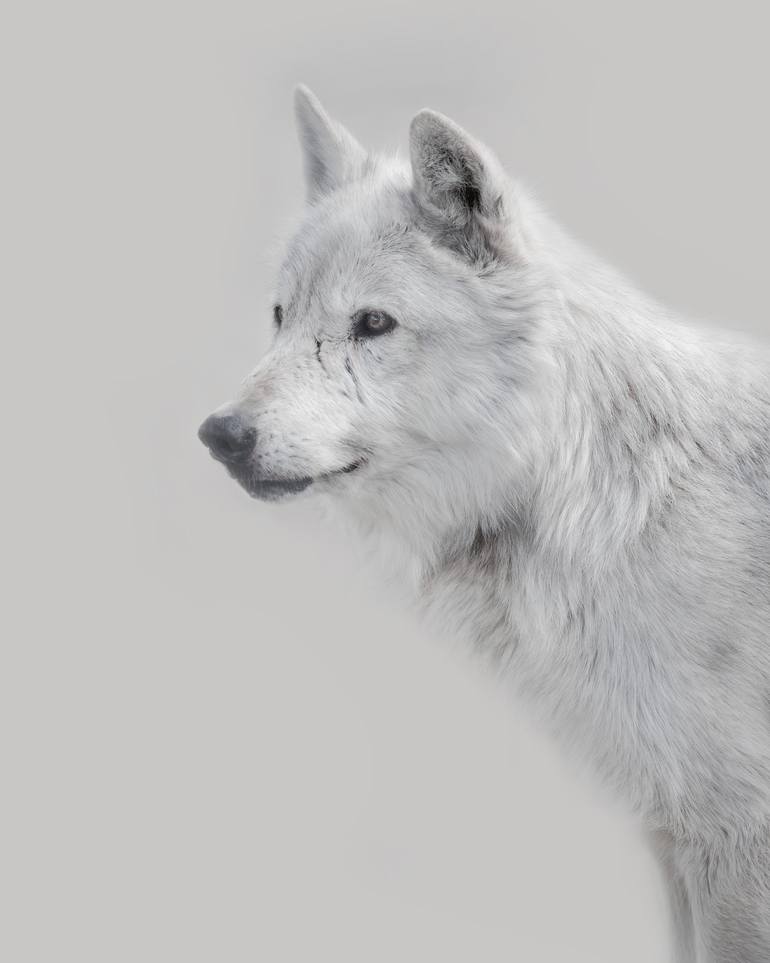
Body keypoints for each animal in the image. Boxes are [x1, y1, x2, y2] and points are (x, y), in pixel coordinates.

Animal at [199, 86, 770, 960]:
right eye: (279, 315)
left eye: (373, 323)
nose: (221, 434)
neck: (602, 491)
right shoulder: (676, 840)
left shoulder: (734, 839)